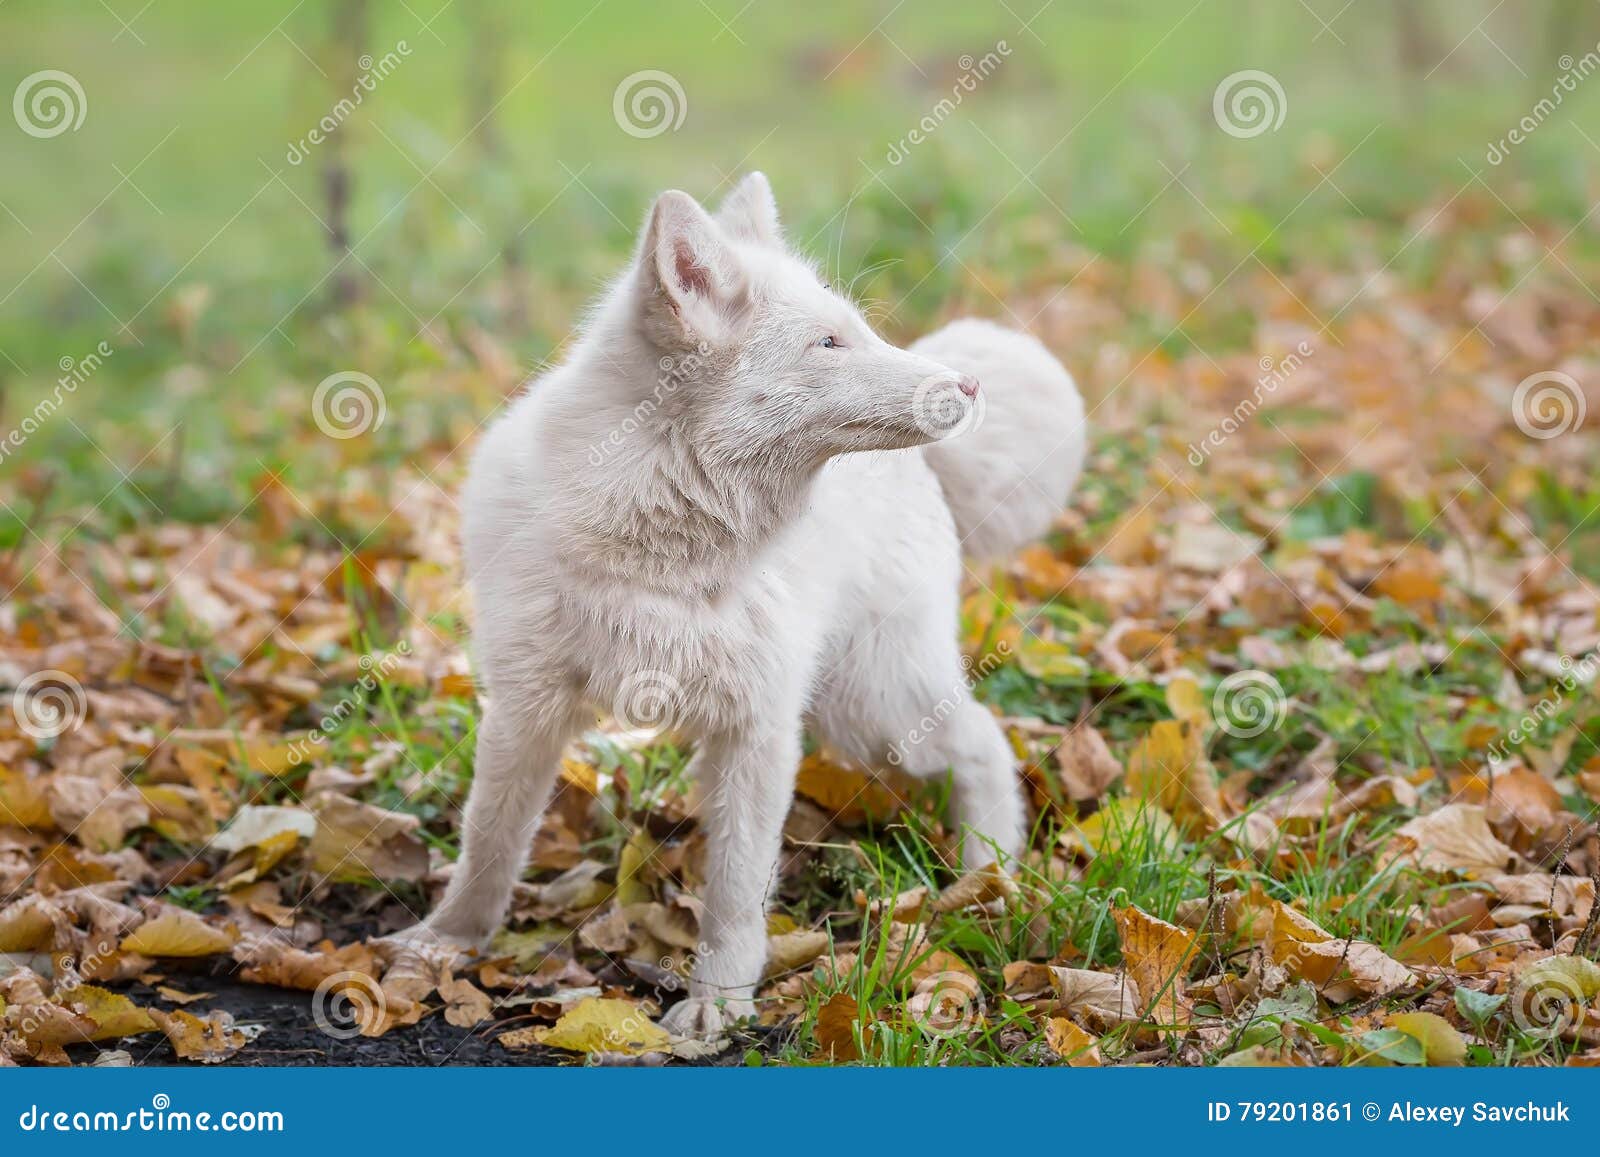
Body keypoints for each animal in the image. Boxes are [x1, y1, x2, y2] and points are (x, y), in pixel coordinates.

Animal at [403, 173, 1086, 1036]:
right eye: (828, 343)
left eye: (861, 328)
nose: (967, 387)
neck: (666, 554)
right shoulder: (527, 707)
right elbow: (489, 841)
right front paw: (450, 941)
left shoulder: (756, 730)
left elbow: (732, 893)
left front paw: (717, 1004)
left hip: (875, 708)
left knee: (986, 743)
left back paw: (989, 879)